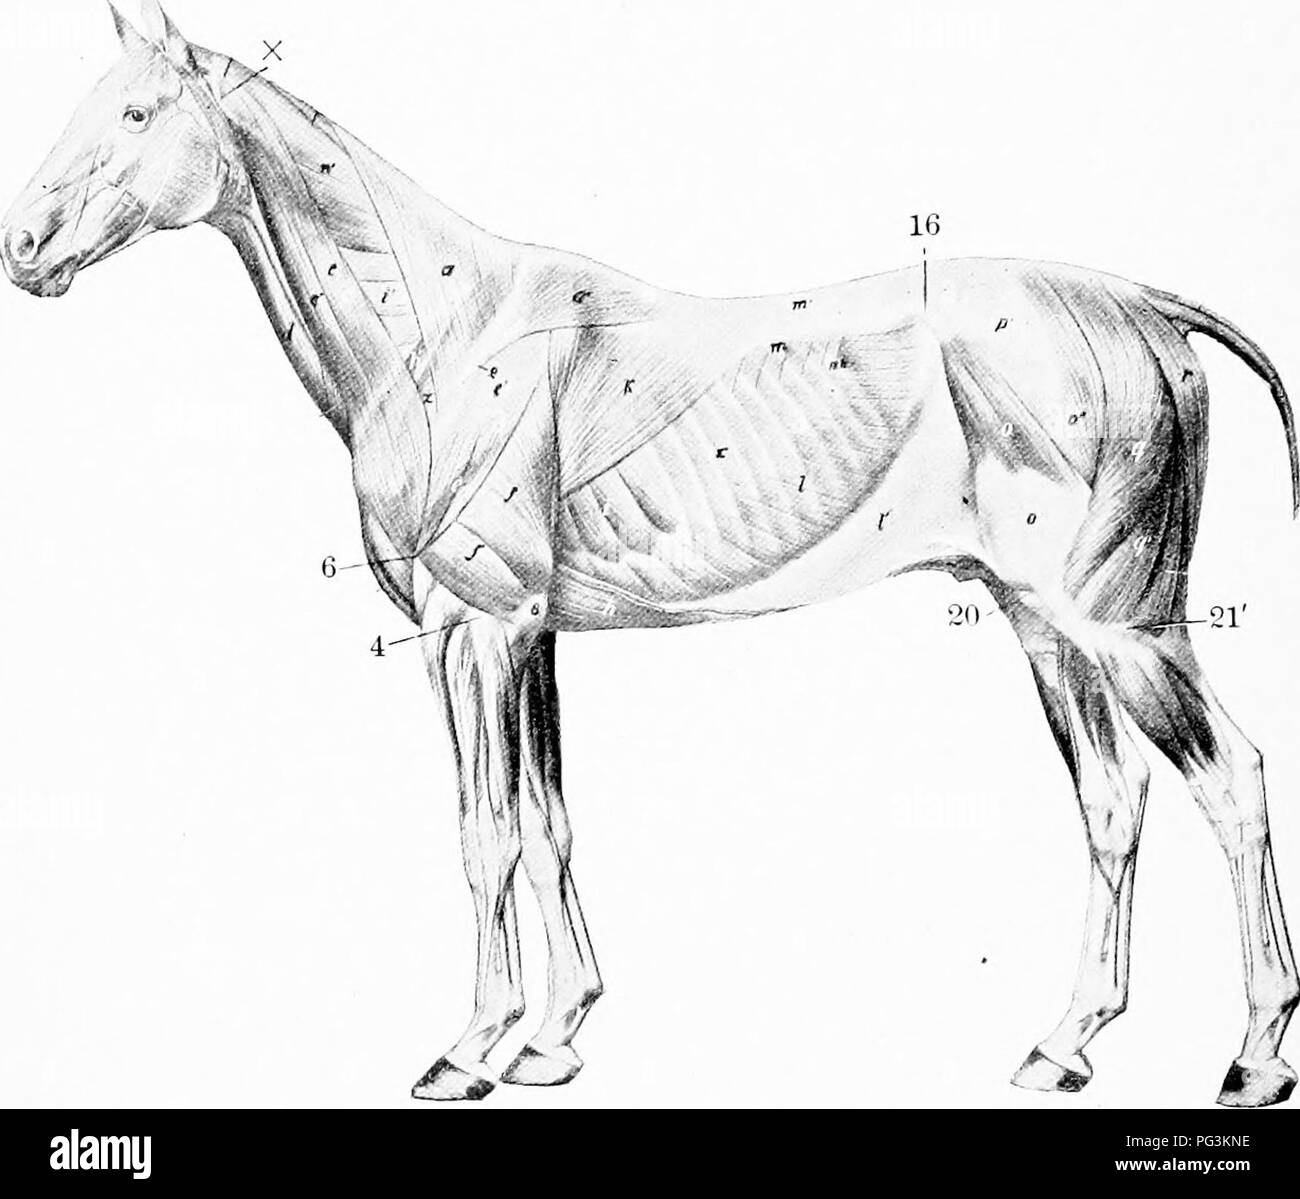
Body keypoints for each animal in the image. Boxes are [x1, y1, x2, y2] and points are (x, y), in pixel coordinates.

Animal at [3, 1, 1297, 1107]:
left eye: (133, 112)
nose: (24, 246)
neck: (440, 335)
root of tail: (1144, 304)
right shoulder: (523, 638)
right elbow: (547, 821)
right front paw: (555, 1033)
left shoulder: (478, 629)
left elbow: (486, 831)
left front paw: (470, 1048)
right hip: (1040, 624)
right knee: (1113, 800)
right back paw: (1062, 1042)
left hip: (1121, 625)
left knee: (1231, 777)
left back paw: (1250, 1057)